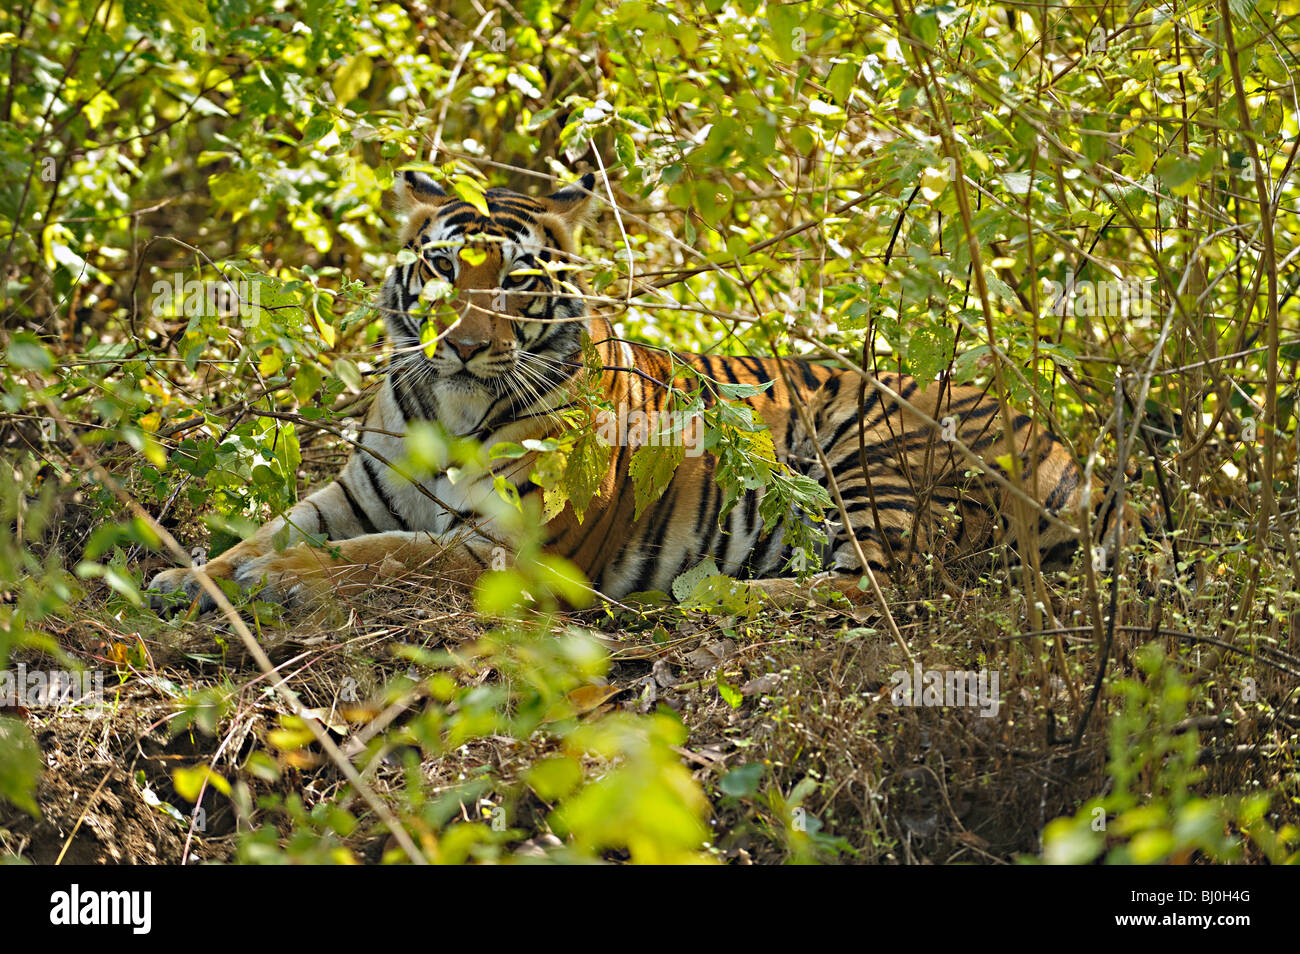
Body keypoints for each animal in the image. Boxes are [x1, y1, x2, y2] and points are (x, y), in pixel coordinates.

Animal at [148, 168, 1091, 612]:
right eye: (445, 267)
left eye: (518, 281)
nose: (464, 347)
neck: (451, 411)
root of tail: (1072, 453)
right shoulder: (354, 493)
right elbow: (269, 531)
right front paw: (189, 578)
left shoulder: (516, 545)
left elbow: (386, 555)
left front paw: (283, 578)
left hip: (870, 450)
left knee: (876, 582)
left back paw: (698, 593)